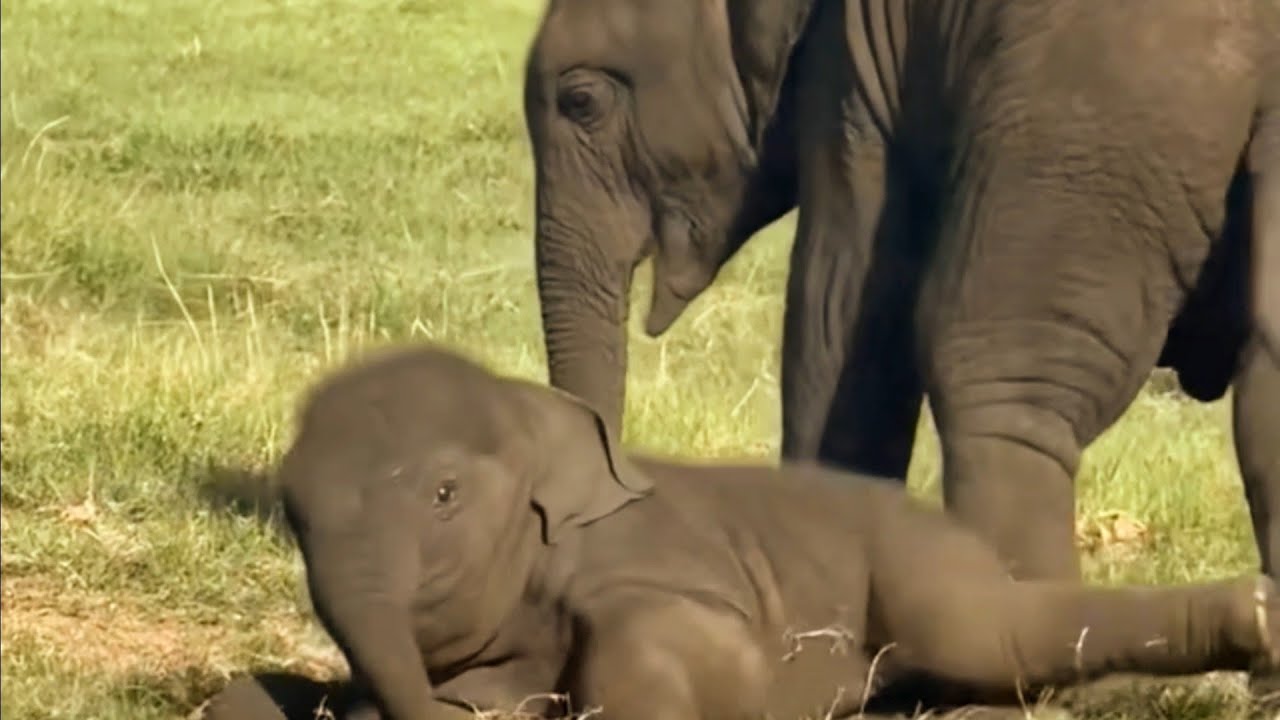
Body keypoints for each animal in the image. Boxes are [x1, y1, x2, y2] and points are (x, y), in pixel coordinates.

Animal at [261, 343, 1280, 720]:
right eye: (292, 511)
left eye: (442, 494)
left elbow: (685, 651)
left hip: (919, 568)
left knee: (991, 636)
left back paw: (1257, 618)